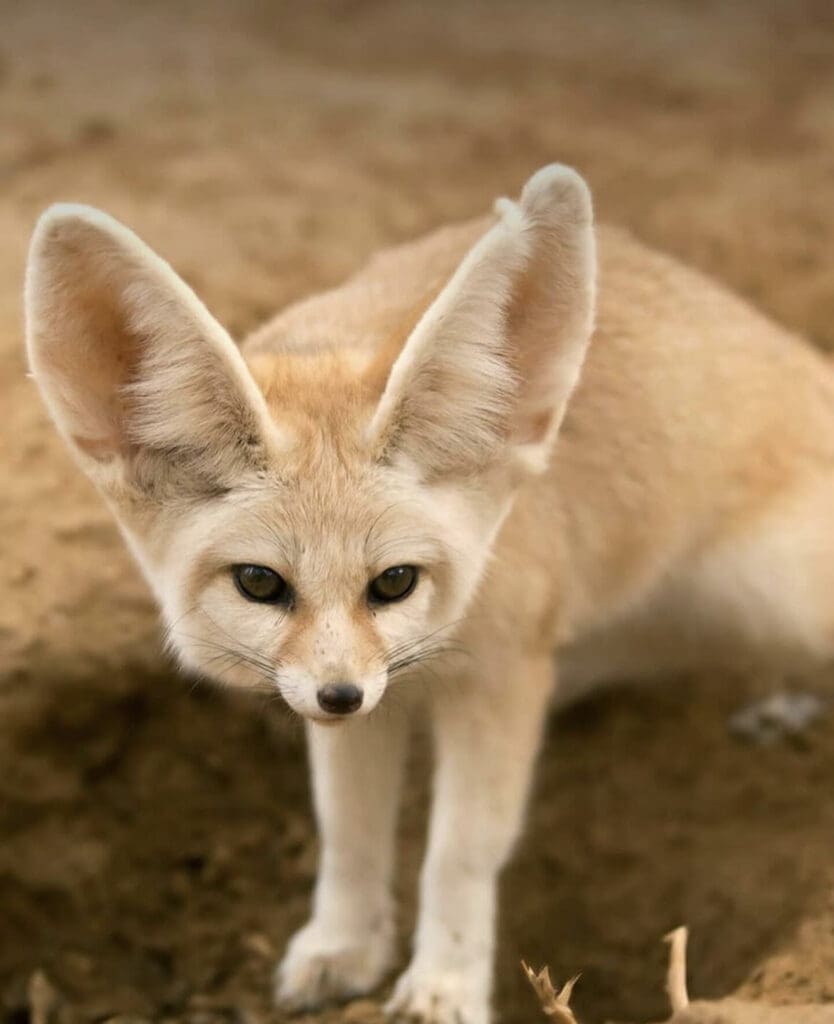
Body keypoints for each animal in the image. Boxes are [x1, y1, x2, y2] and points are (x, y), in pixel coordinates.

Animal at [24, 164, 834, 1024]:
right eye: (259, 582)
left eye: (395, 581)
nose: (341, 695)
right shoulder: (355, 698)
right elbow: (348, 831)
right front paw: (344, 944)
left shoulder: (499, 678)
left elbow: (459, 852)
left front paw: (445, 982)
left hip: (775, 594)